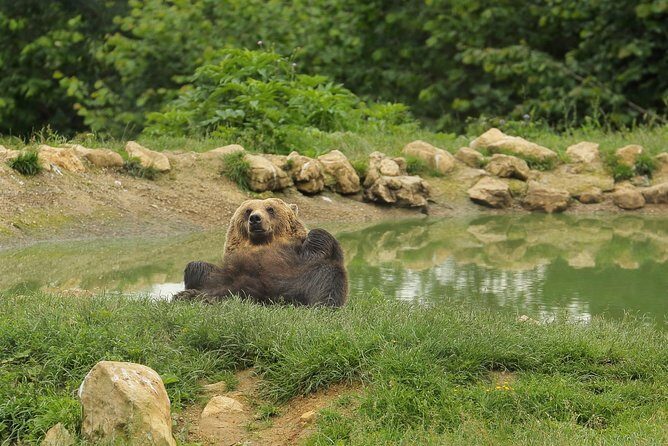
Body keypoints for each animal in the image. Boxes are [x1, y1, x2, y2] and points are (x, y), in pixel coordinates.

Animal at [173, 198, 347, 307]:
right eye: (248, 210)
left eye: (270, 209)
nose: (255, 218)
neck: (263, 244)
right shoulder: (232, 269)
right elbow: (200, 268)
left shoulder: (296, 260)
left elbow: (319, 243)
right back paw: (190, 296)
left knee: (327, 275)